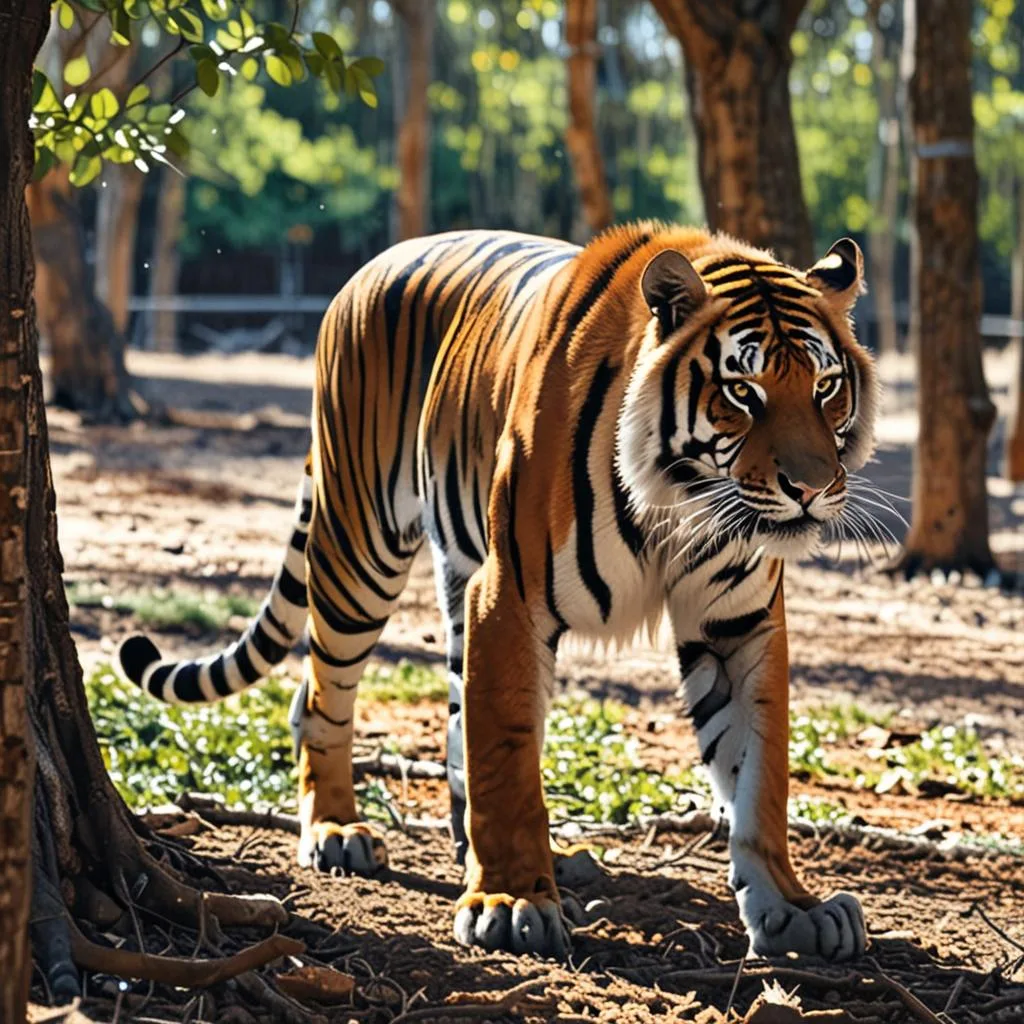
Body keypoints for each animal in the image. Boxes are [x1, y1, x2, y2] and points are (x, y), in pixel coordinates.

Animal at [119, 223, 878, 960]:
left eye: (825, 387)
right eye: (743, 392)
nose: (811, 490)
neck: (680, 501)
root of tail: (365, 269)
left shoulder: (739, 625)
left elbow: (759, 769)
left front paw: (791, 909)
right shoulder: (509, 594)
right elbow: (509, 750)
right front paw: (513, 902)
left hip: (454, 575)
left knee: (457, 715)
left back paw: (509, 855)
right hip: (360, 545)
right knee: (318, 696)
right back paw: (337, 831)